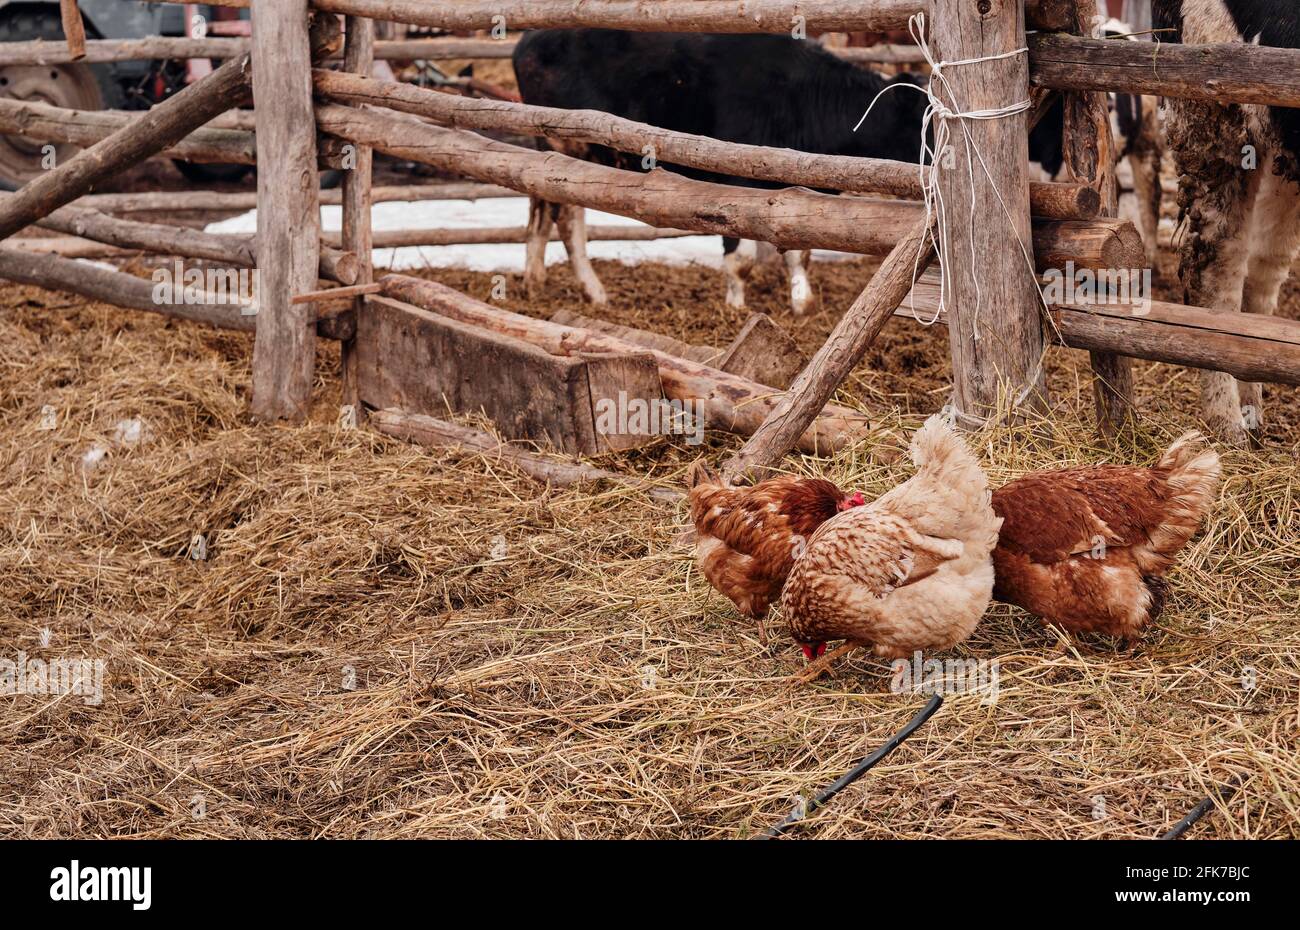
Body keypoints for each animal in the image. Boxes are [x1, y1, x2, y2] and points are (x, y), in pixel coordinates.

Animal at [511, 29, 930, 315]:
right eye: (924, 122)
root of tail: (530, 40)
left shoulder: (795, 189)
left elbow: (800, 253)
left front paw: (802, 304)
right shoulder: (735, 182)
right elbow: (740, 259)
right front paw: (737, 308)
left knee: (540, 207)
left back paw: (534, 281)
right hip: (569, 146)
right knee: (566, 215)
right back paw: (594, 292)